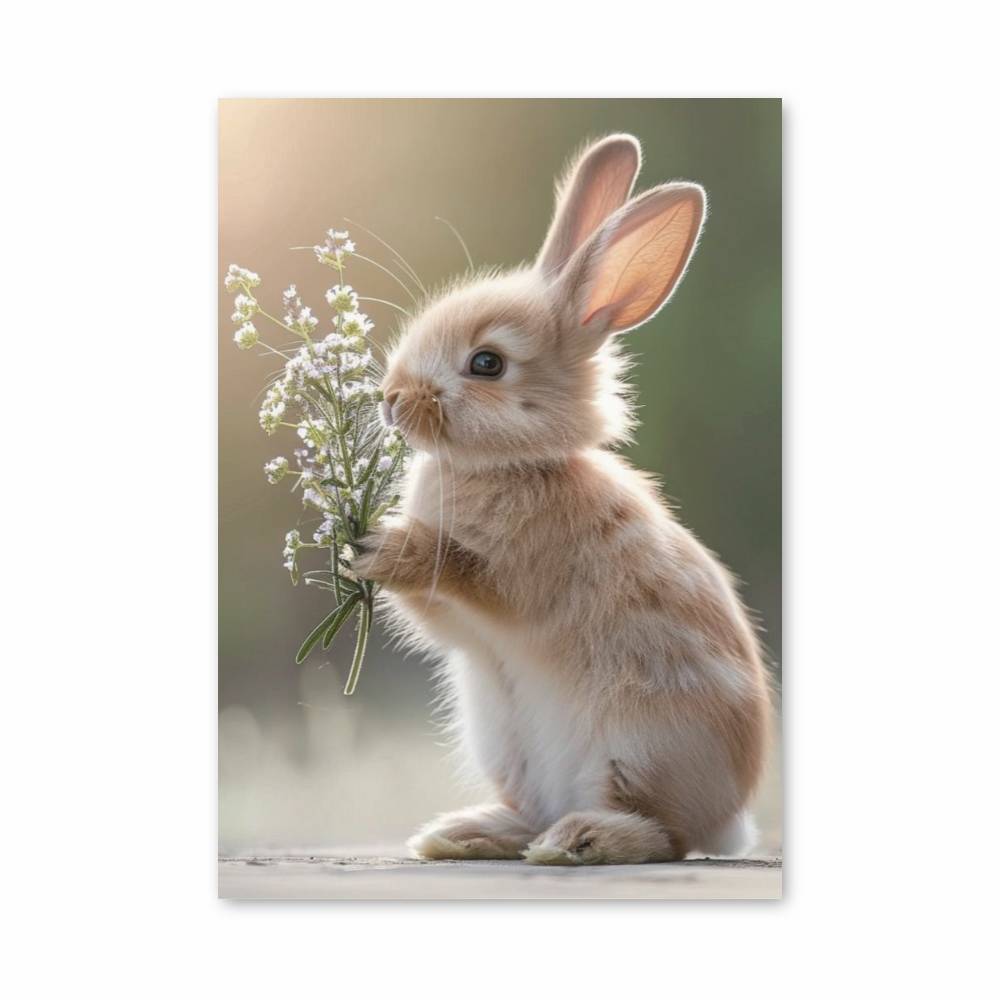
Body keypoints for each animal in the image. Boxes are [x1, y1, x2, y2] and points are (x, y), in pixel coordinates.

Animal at [351, 134, 772, 864]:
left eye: (486, 363)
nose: (393, 400)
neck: (514, 465)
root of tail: (731, 823)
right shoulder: (459, 630)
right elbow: (438, 622)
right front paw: (361, 549)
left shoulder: (522, 579)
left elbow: (472, 576)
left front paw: (390, 545)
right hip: (504, 742)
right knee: (536, 814)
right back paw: (463, 834)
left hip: (634, 744)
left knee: (663, 834)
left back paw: (578, 840)